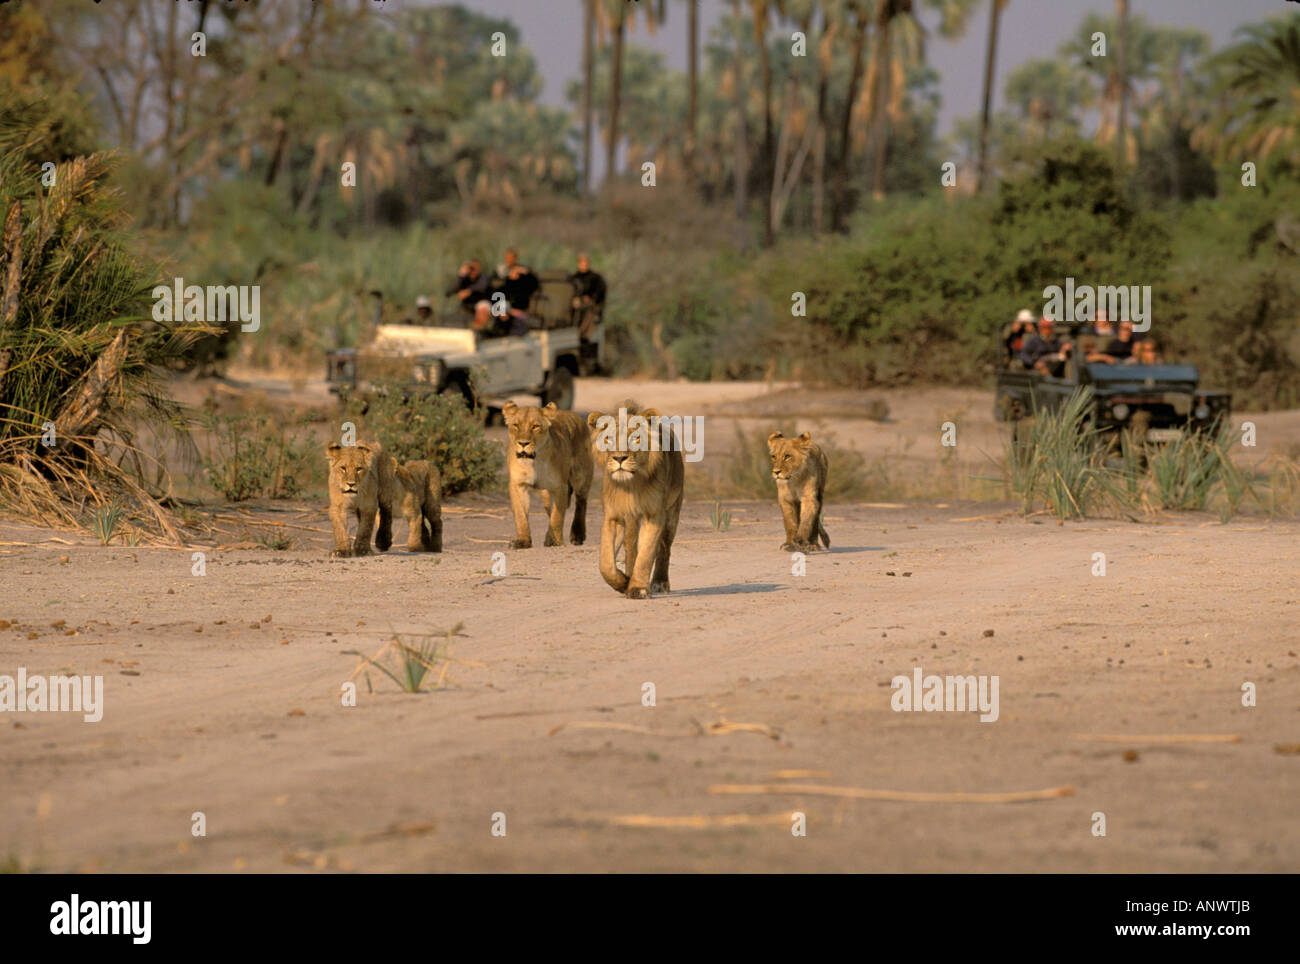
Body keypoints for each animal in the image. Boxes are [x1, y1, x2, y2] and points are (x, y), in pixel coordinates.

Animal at [502, 400, 592, 549]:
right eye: (515, 425)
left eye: (535, 426)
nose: (523, 443)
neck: (535, 461)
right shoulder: (518, 484)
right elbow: (521, 515)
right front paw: (522, 541)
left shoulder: (560, 487)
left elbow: (557, 517)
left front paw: (554, 541)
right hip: (545, 494)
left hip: (581, 476)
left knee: (581, 502)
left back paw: (577, 535)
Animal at [587, 402, 684, 599]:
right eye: (608, 439)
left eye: (635, 438)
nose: (619, 458)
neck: (631, 485)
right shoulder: (613, 517)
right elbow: (605, 563)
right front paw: (623, 582)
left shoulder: (654, 515)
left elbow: (646, 554)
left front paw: (638, 588)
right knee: (630, 548)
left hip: (673, 511)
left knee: (665, 548)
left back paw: (659, 582)